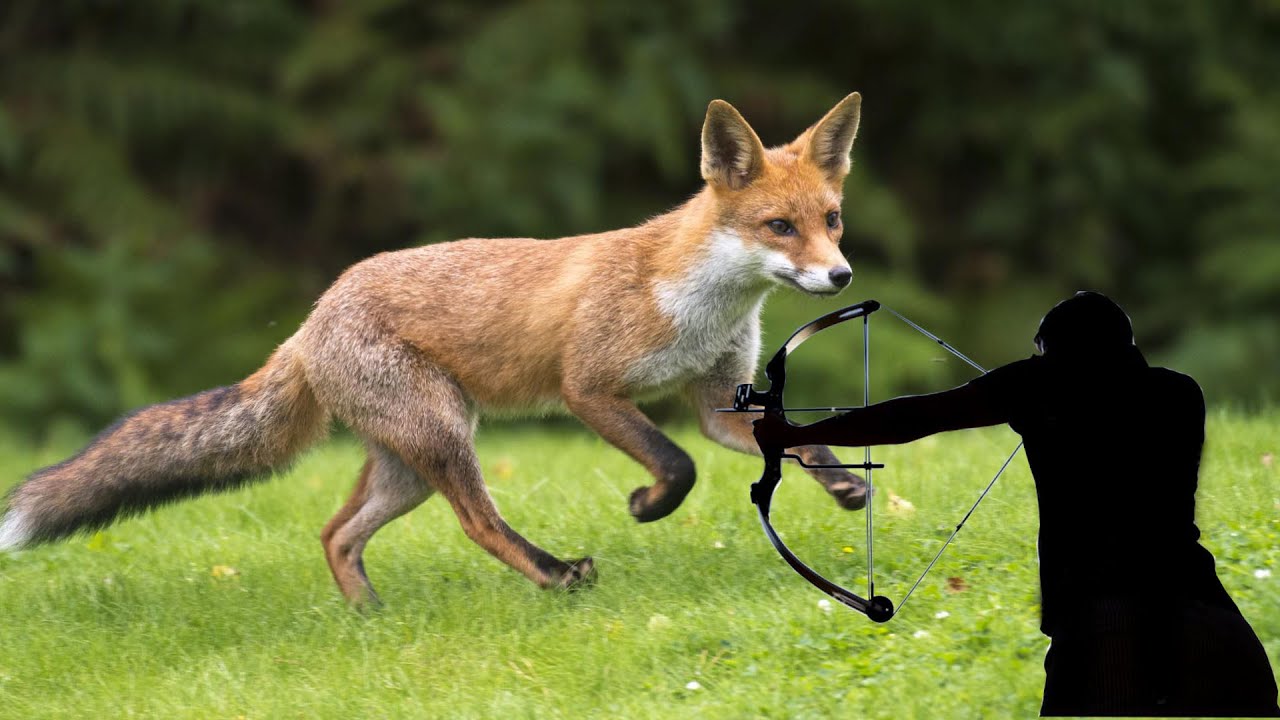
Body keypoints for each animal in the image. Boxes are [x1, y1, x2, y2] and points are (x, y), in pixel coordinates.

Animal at [0, 93, 869, 605]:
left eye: (832, 220)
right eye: (778, 227)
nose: (841, 275)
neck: (697, 301)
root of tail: (310, 320)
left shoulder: (719, 400)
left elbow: (793, 444)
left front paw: (844, 488)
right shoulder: (589, 388)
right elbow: (678, 464)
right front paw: (648, 505)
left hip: (408, 464)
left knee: (335, 533)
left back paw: (368, 621)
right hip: (446, 439)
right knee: (478, 525)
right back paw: (555, 576)